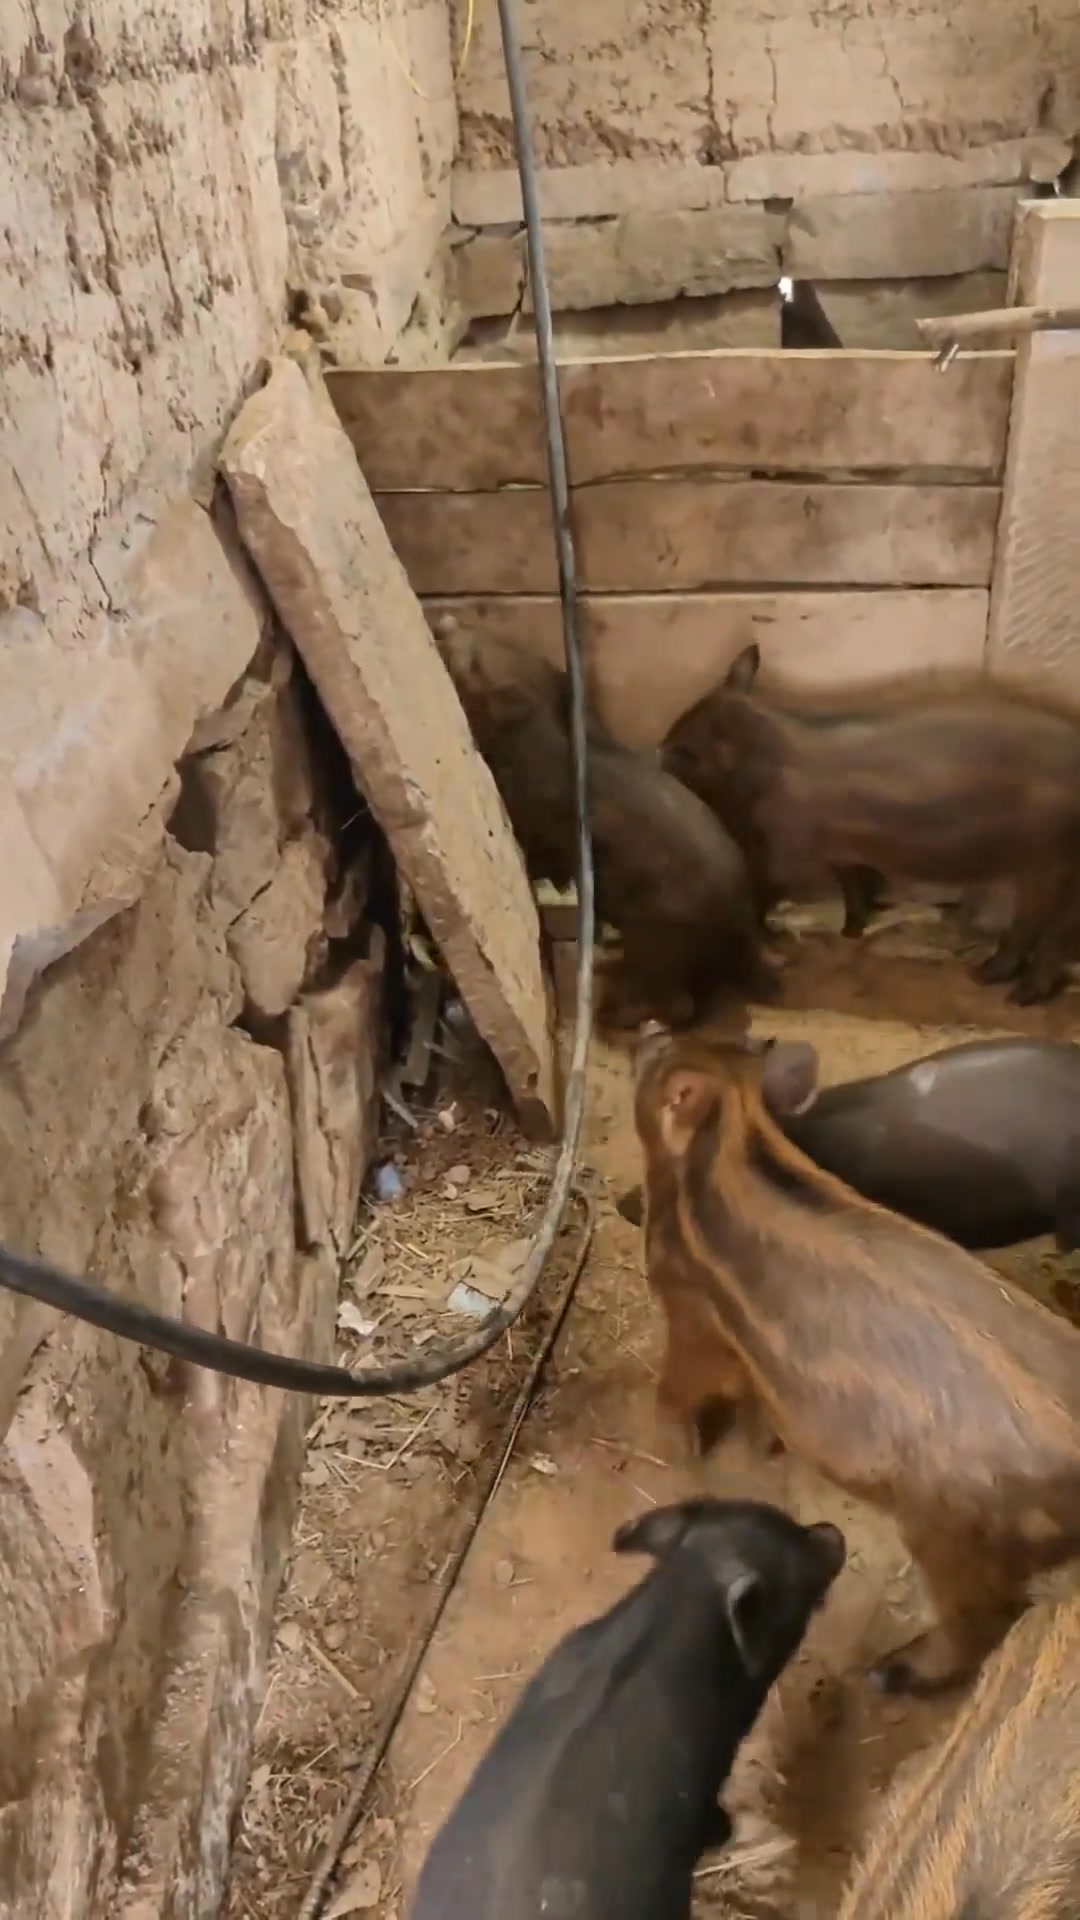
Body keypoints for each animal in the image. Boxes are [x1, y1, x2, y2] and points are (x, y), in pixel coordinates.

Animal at [435, 625, 776, 1029]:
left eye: (474, 662)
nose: (447, 624)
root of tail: (741, 926)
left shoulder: (535, 824)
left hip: (659, 945)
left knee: (678, 1004)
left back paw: (614, 1012)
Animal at [632, 1023, 1080, 1695]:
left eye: (661, 1057)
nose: (648, 1031)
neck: (733, 1131)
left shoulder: (693, 1319)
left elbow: (679, 1388)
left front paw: (672, 1452)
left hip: (953, 1535)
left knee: (978, 1625)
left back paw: (884, 1674)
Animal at [661, 643, 1080, 1001]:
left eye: (685, 749)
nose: (659, 751)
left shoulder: (785, 846)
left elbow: (764, 887)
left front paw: (775, 936)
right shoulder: (845, 849)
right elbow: (854, 885)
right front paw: (851, 932)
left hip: (1048, 860)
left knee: (1043, 929)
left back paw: (1001, 987)